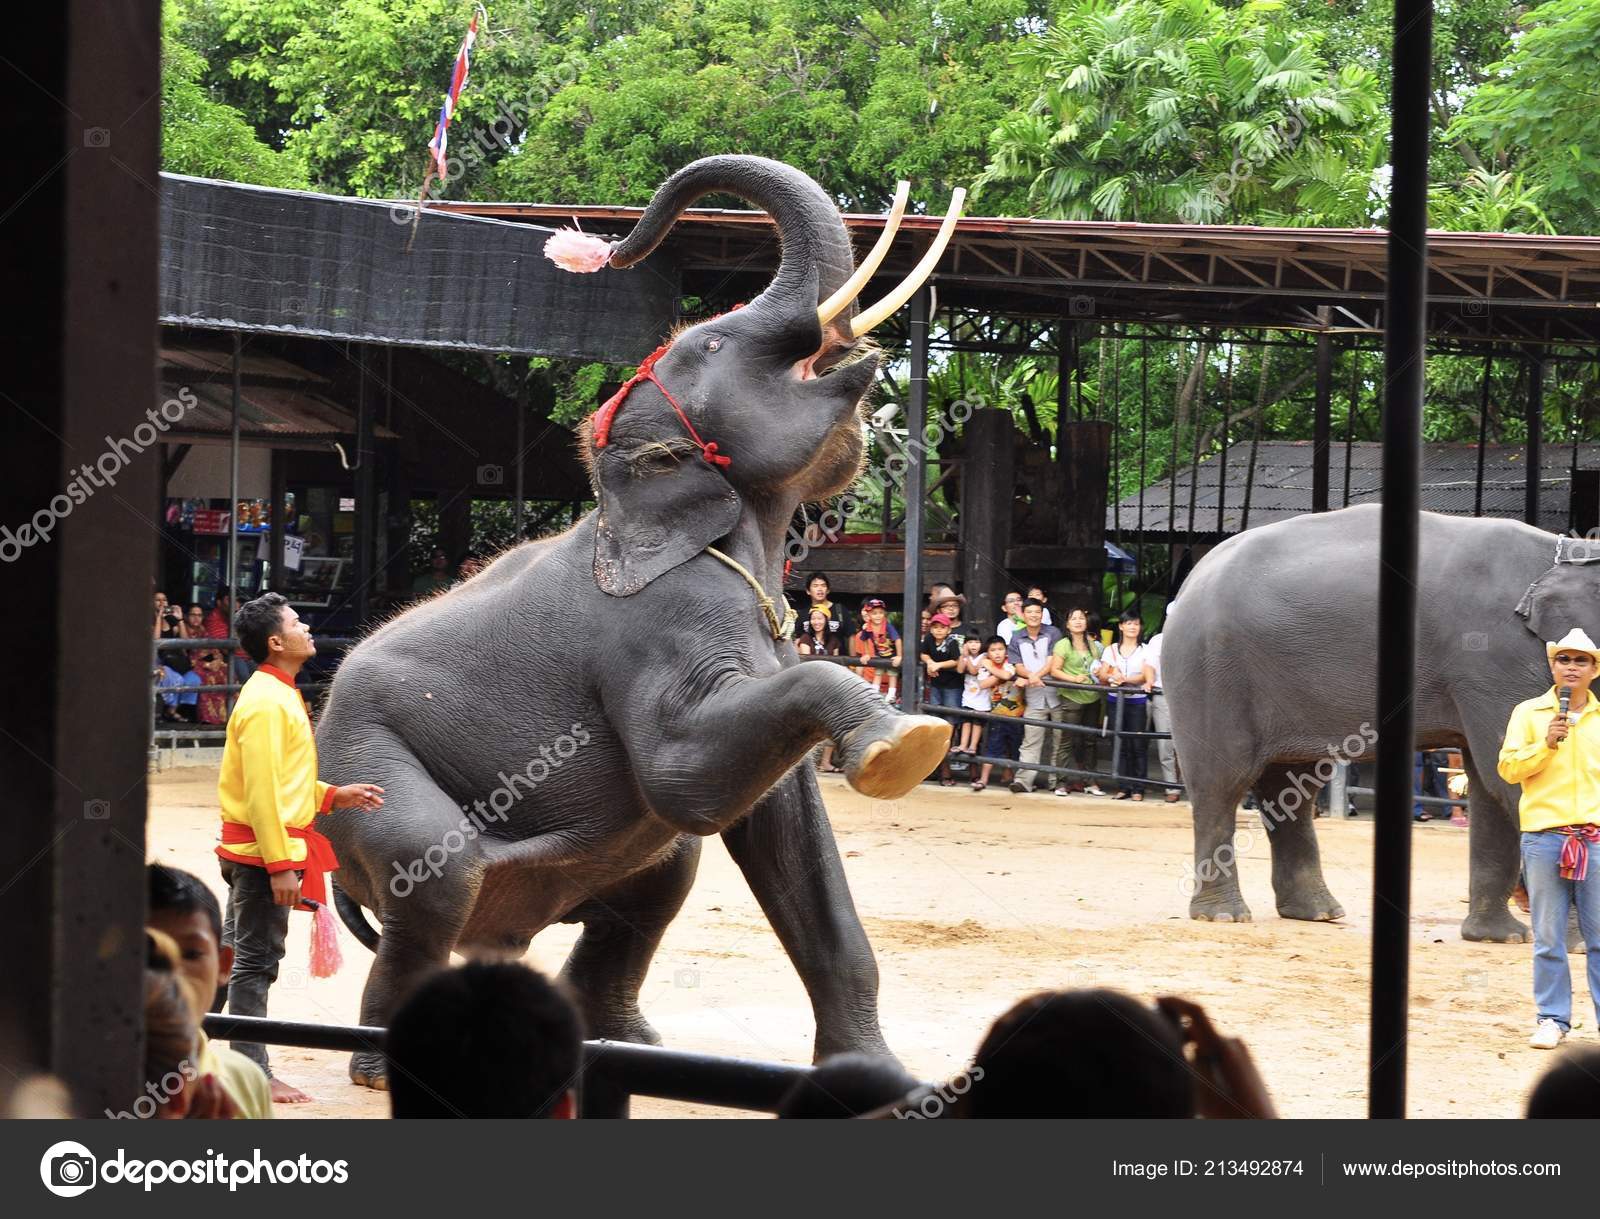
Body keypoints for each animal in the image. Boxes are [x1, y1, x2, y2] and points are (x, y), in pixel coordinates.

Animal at [313, 155, 956, 1089]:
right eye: (714, 346)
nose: (614, 248)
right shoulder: (654, 623)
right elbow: (682, 775)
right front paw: (909, 745)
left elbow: (783, 827)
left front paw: (880, 1081)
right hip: (363, 769)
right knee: (436, 875)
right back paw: (379, 1066)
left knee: (663, 874)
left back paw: (624, 1046)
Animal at [1164, 503, 1600, 942]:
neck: (1567, 550)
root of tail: (1189, 582)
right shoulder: (1495, 657)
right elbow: (1511, 778)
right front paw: (1574, 944)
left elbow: (1495, 779)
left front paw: (1501, 938)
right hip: (1210, 672)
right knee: (1222, 784)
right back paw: (1224, 915)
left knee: (1291, 788)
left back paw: (1318, 912)